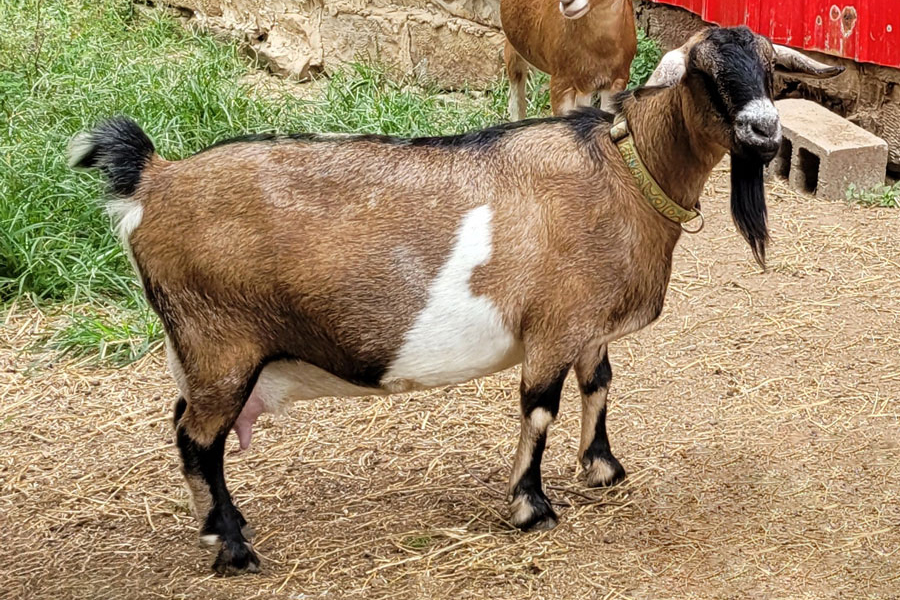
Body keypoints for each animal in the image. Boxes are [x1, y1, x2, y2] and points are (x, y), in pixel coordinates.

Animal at [70, 26, 842, 576]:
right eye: (709, 75)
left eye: (772, 71)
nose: (764, 132)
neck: (622, 171)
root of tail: (152, 179)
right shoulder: (554, 327)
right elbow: (539, 409)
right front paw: (531, 506)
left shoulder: (589, 327)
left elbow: (600, 385)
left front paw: (602, 468)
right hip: (220, 349)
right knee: (196, 440)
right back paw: (233, 548)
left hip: (202, 354)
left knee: (185, 430)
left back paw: (222, 533)